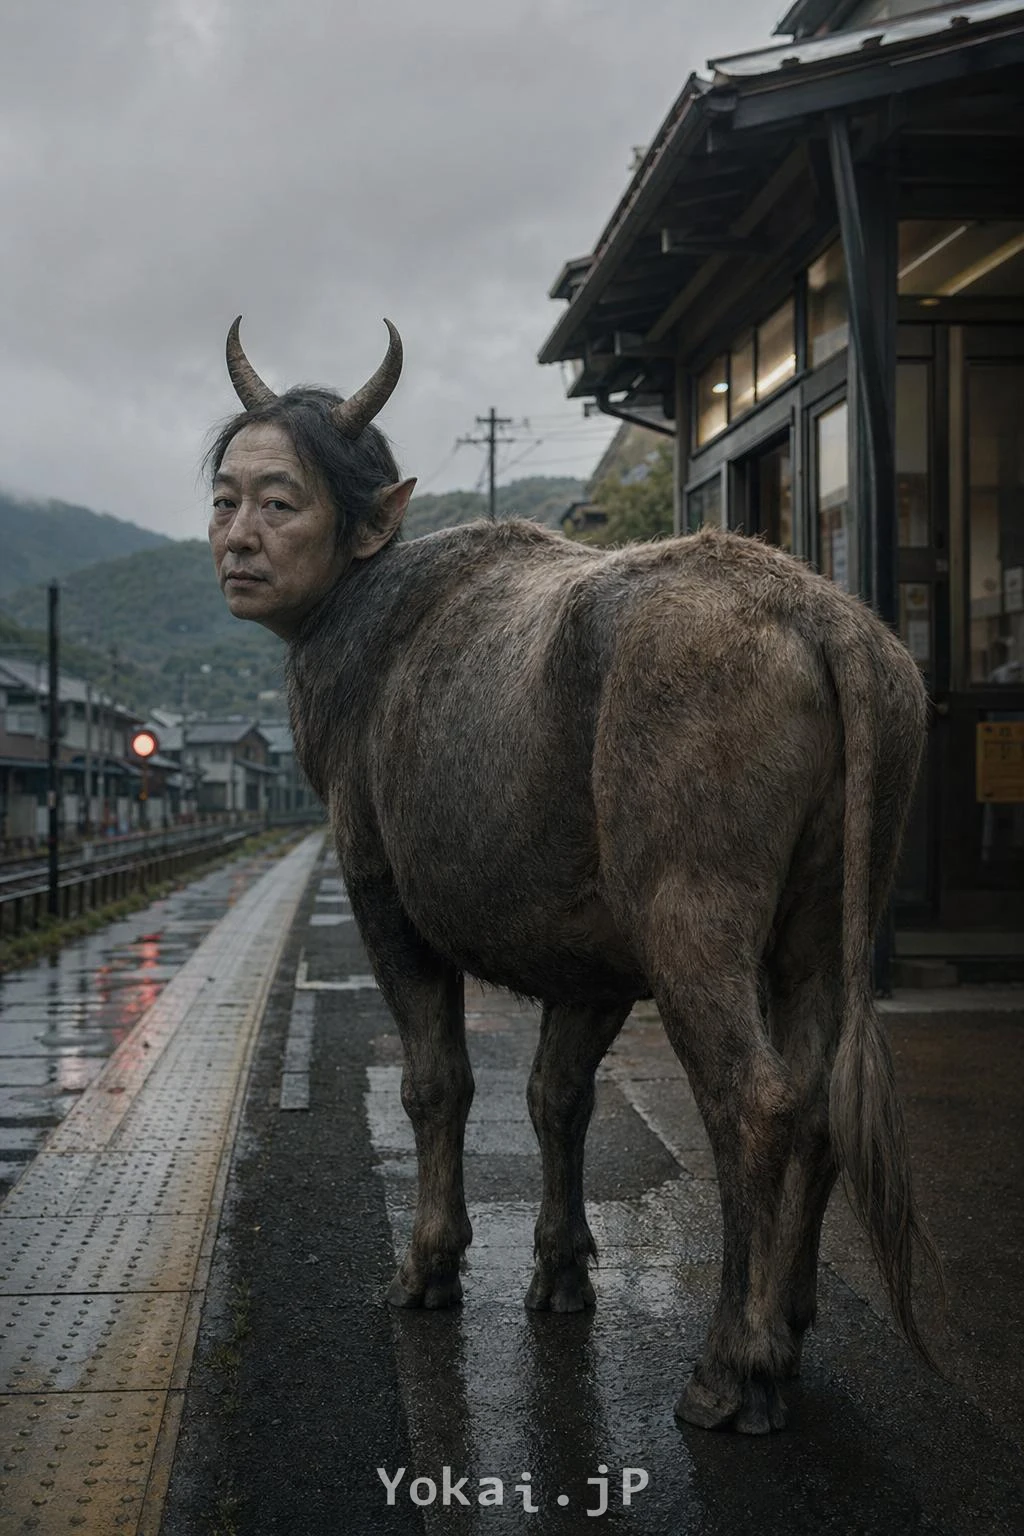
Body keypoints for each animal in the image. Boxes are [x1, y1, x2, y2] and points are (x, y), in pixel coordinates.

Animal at [206, 318, 940, 1434]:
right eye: (228, 494)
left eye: (279, 499)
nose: (236, 548)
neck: (354, 621)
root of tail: (825, 619)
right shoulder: (587, 958)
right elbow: (556, 1097)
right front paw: (559, 1270)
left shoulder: (382, 892)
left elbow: (439, 1082)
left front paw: (430, 1264)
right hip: (821, 917)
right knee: (821, 1101)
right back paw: (789, 1321)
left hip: (689, 909)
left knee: (757, 1099)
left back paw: (733, 1362)